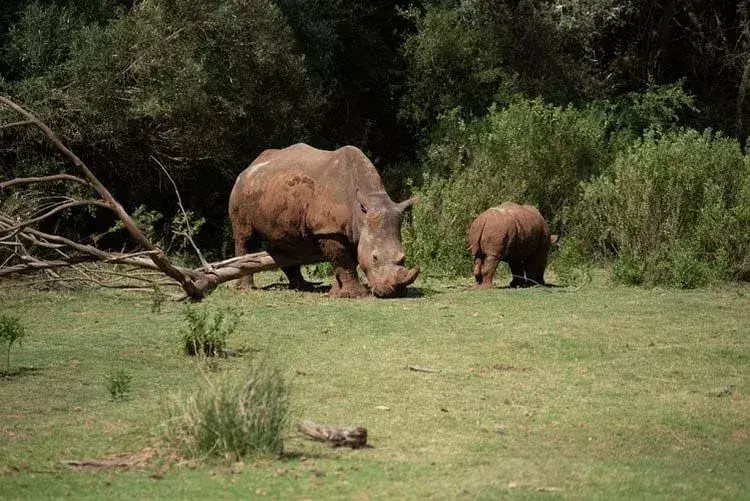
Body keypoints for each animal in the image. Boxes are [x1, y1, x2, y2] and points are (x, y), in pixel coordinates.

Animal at [229, 143, 420, 296]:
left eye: (403, 257)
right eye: (374, 258)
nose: (393, 292)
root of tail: (249, 166)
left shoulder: (352, 229)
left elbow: (349, 259)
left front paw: (337, 292)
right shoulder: (328, 229)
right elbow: (342, 259)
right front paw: (356, 295)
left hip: (275, 196)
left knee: (283, 238)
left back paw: (302, 287)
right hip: (240, 190)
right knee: (244, 235)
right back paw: (246, 288)